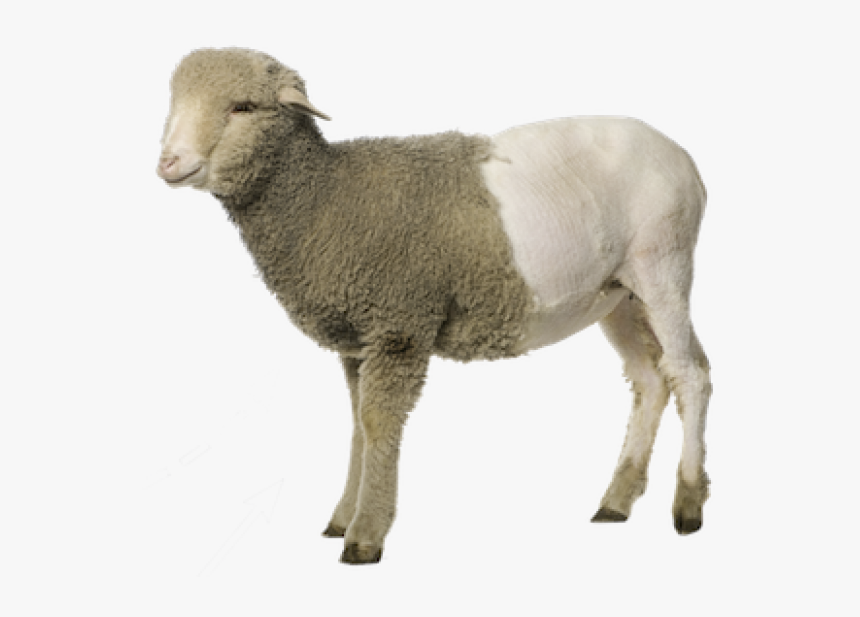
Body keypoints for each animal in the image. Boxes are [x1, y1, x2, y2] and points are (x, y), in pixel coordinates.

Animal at [157, 47, 712, 565]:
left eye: (243, 107)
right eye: (175, 101)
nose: (168, 162)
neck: (325, 197)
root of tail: (681, 155)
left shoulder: (399, 324)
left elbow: (378, 423)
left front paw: (365, 535)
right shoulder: (360, 339)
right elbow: (357, 425)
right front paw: (343, 516)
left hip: (664, 263)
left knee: (688, 374)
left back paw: (687, 504)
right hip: (616, 292)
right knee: (649, 378)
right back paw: (616, 500)